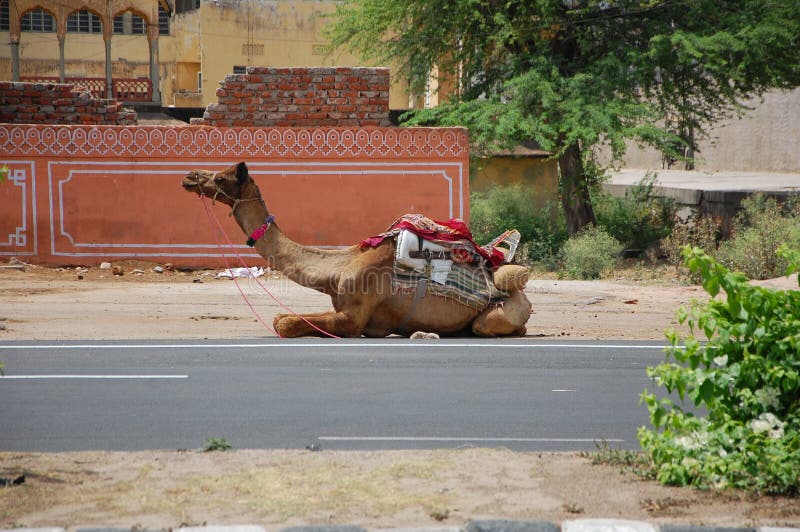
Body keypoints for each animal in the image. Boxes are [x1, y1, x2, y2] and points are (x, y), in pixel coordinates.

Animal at [181, 161, 532, 338]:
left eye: (222, 178)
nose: (189, 177)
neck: (336, 270)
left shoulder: (353, 318)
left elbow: (284, 322)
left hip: (498, 313)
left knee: (489, 326)